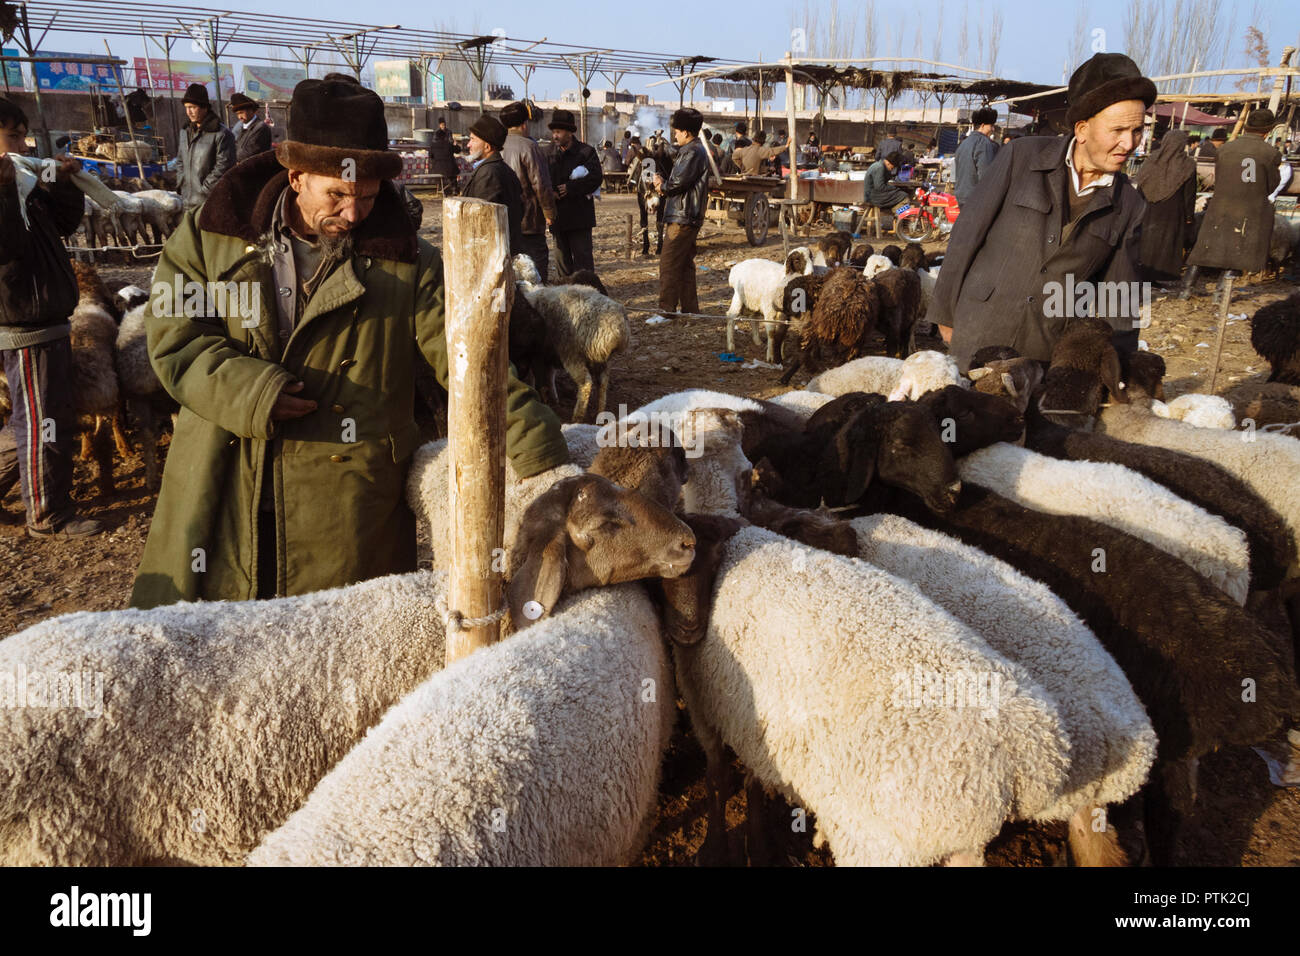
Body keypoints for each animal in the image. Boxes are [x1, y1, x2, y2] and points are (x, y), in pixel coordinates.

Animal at [510, 254, 630, 422]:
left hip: (572, 353)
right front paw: (554, 397)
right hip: (600, 359)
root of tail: (616, 329)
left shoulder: (537, 353)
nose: (517, 255)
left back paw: (577, 416)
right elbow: (550, 375)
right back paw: (600, 413)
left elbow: (538, 377)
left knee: (586, 383)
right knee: (603, 383)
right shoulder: (547, 351)